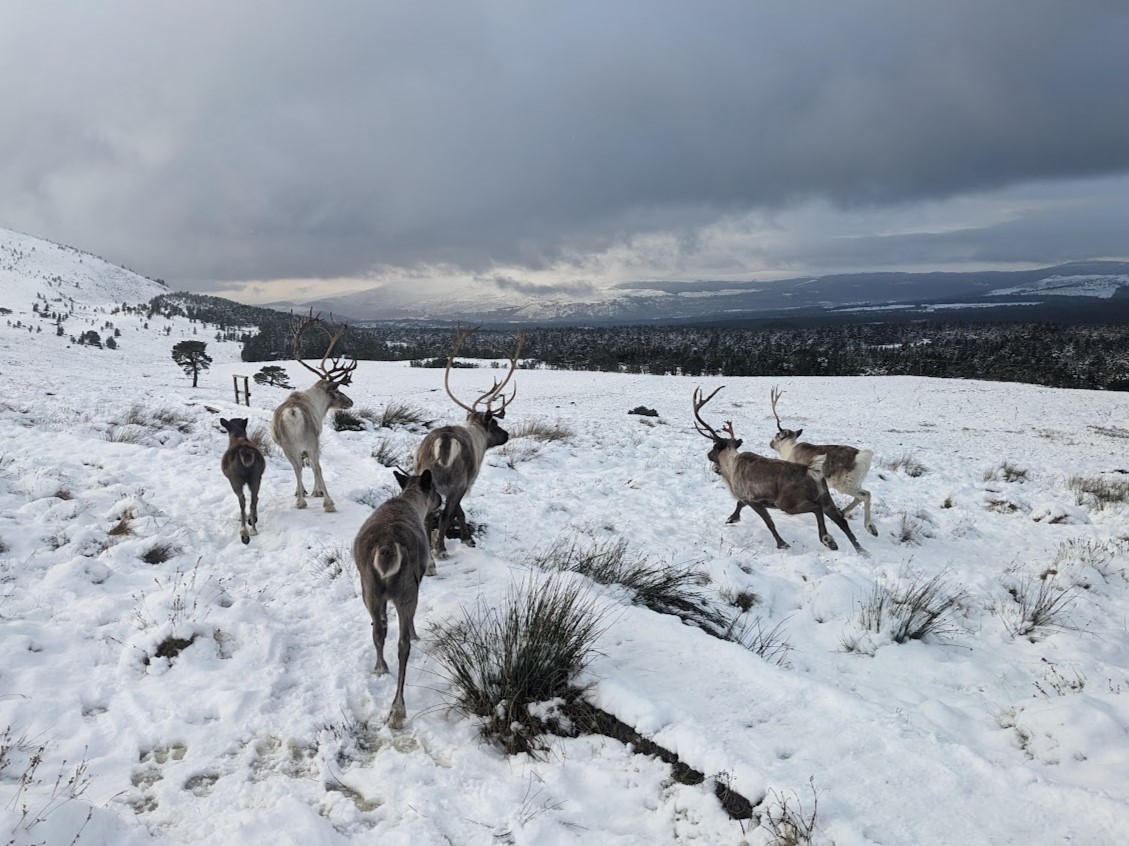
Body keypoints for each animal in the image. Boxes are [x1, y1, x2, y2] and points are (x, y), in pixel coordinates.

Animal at [271, 312, 357, 512]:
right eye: (338, 391)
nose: (350, 402)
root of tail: (292, 412)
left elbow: (301, 467)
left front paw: (300, 491)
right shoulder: (315, 439)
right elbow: (314, 467)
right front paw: (317, 492)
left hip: (287, 445)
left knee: (297, 467)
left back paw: (300, 502)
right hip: (311, 441)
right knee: (317, 466)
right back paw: (328, 503)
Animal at [352, 469, 441, 729]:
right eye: (435, 488)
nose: (441, 500)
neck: (411, 500)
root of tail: (387, 547)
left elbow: (381, 625)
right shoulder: (416, 586)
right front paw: (416, 633)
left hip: (369, 590)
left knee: (377, 631)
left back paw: (380, 668)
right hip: (406, 592)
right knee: (403, 645)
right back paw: (398, 709)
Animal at [414, 325, 524, 559]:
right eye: (494, 424)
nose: (507, 435)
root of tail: (443, 441)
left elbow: (457, 512)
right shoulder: (466, 483)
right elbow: (459, 513)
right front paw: (468, 539)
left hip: (424, 476)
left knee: (428, 516)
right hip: (455, 482)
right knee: (444, 515)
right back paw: (440, 549)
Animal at [693, 386, 866, 554]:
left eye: (715, 447)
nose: (708, 454)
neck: (730, 467)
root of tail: (812, 471)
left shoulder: (754, 500)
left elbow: (768, 522)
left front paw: (782, 543)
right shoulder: (749, 499)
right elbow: (739, 504)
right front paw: (731, 518)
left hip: (789, 503)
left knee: (817, 509)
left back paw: (828, 540)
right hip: (825, 497)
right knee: (842, 521)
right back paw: (862, 550)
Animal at [768, 386, 878, 536]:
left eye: (777, 435)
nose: (770, 443)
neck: (788, 449)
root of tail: (862, 457)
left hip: (844, 484)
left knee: (865, 494)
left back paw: (870, 526)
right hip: (856, 482)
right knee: (861, 495)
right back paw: (844, 513)